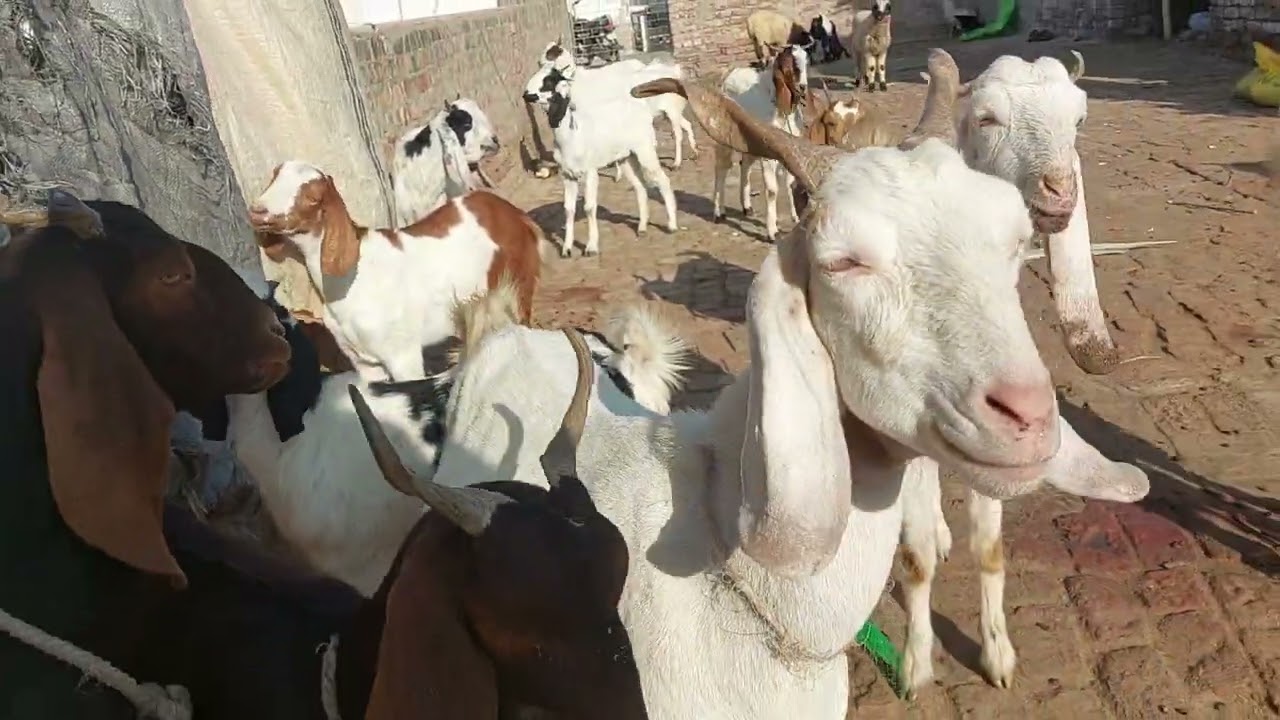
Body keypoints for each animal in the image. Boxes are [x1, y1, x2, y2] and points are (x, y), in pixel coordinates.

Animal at [248, 161, 545, 382]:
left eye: (312, 198)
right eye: (274, 176)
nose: (258, 211)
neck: (352, 280)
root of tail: (517, 215)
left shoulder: (402, 357)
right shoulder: (363, 363)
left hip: (516, 288)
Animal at [524, 68, 679, 257]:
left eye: (548, 81)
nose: (526, 95)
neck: (571, 136)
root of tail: (641, 108)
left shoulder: (590, 172)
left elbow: (589, 207)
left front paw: (591, 248)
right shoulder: (567, 175)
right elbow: (568, 209)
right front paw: (566, 249)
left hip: (646, 150)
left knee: (663, 180)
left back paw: (672, 226)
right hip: (626, 158)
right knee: (640, 187)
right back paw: (642, 228)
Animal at [528, 41, 699, 169]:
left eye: (551, 52)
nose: (538, 62)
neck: (578, 82)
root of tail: (674, 73)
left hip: (672, 110)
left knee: (678, 134)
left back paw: (676, 163)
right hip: (669, 111)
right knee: (688, 124)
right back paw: (695, 152)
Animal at [714, 44, 811, 242]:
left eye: (807, 60)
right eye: (788, 65)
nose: (803, 87)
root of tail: (728, 74)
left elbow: (790, 182)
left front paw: (795, 218)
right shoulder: (769, 154)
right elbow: (772, 190)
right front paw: (772, 231)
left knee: (745, 164)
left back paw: (747, 207)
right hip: (724, 137)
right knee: (721, 168)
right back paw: (719, 212)